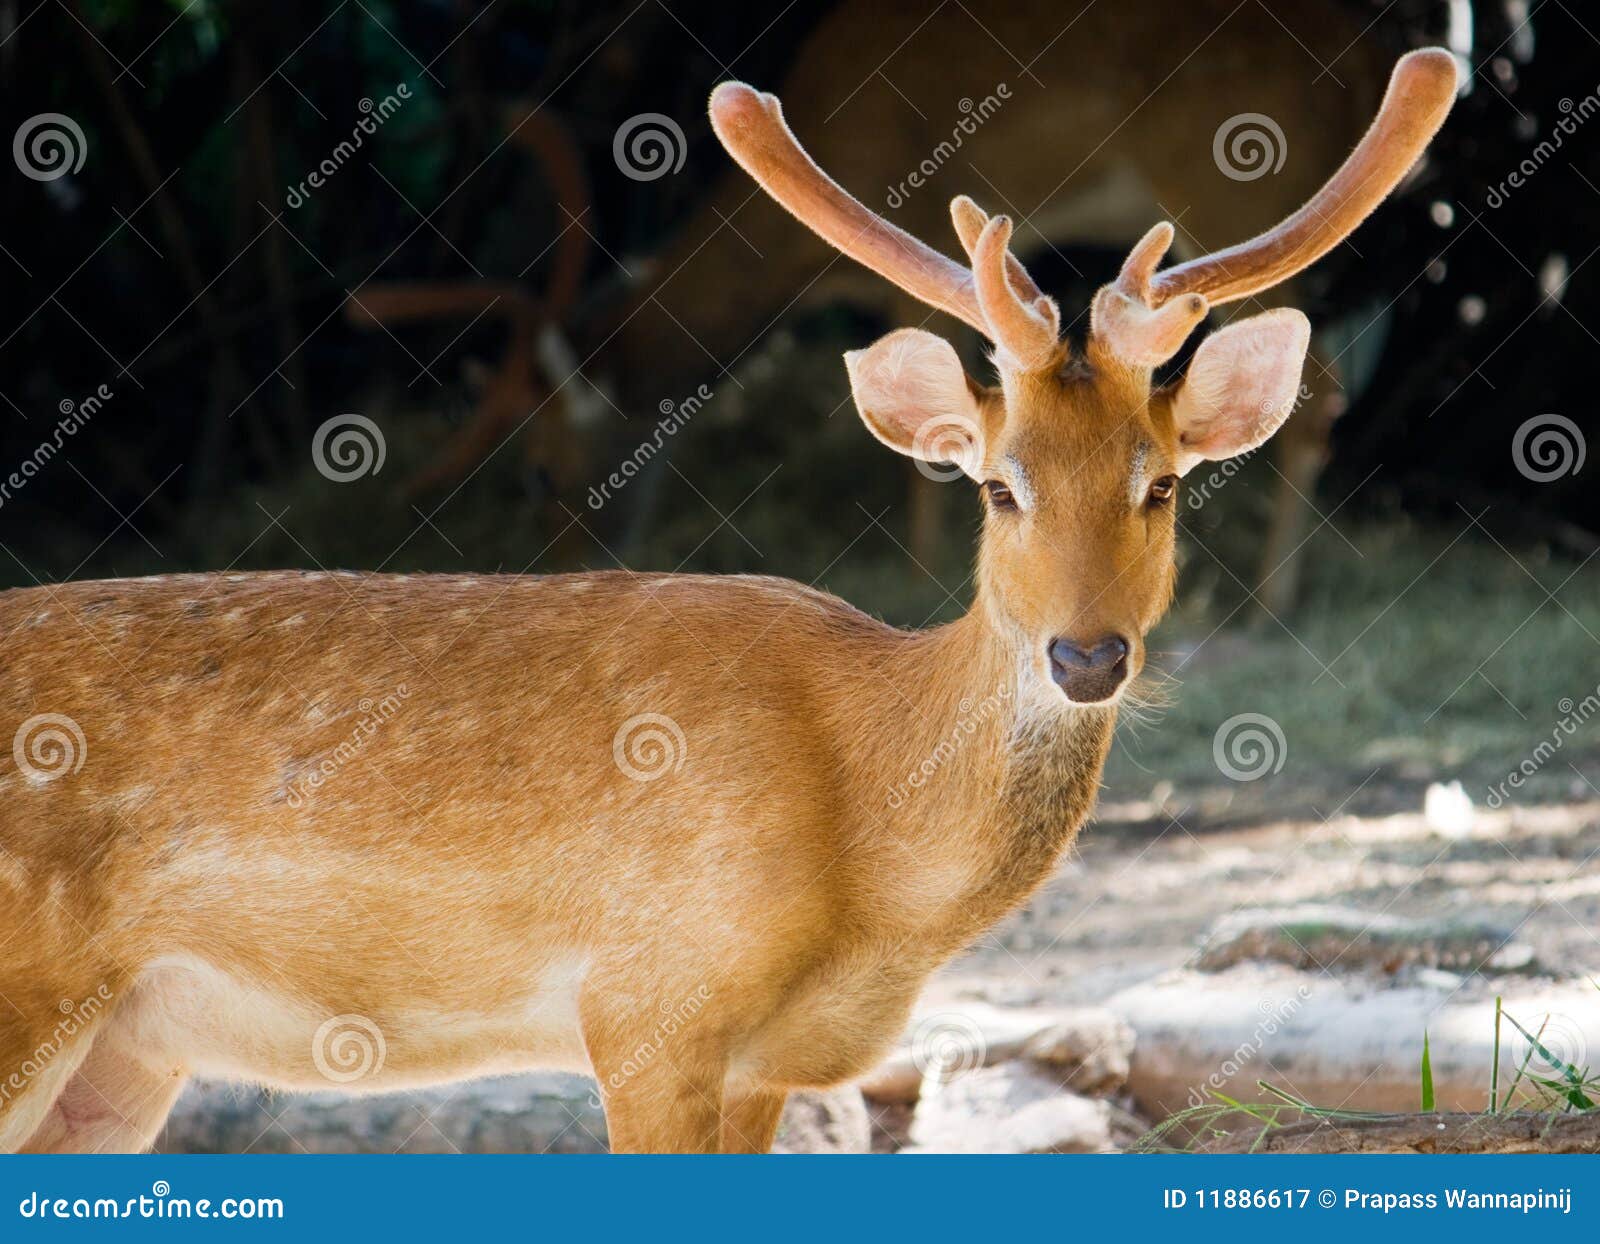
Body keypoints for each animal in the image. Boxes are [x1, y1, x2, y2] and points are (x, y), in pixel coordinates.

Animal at [0, 47, 1455, 1154]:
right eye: (999, 487)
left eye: (1161, 485)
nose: (1087, 654)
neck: (869, 853)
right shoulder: (649, 1007)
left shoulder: (772, 1059)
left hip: (123, 1057)